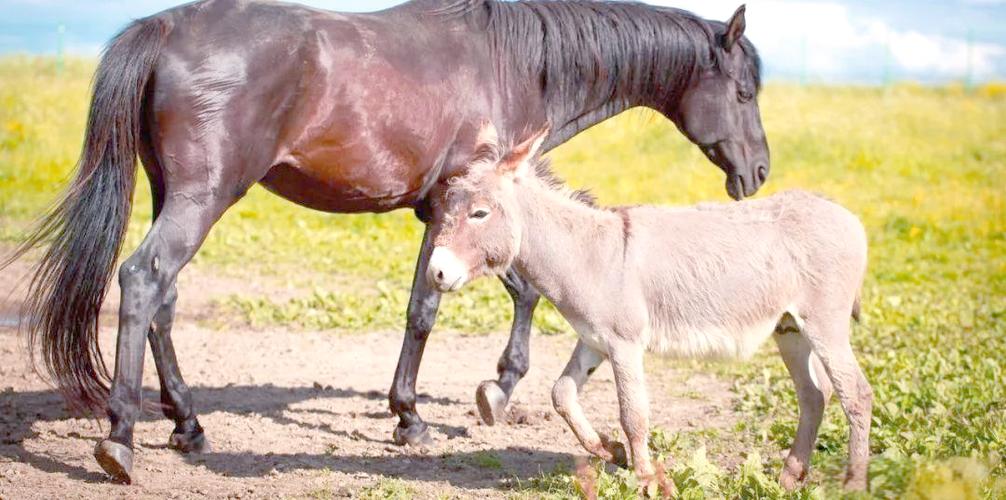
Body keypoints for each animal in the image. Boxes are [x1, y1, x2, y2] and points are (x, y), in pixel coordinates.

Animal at [1, 0, 768, 483]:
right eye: (744, 93)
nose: (758, 172)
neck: (512, 61)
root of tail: (164, 27)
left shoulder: (458, 210)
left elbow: (494, 290)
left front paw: (470, 395)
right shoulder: (456, 205)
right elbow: (449, 303)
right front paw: (438, 408)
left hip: (177, 197)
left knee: (163, 298)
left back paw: (188, 424)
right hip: (201, 199)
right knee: (142, 280)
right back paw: (121, 438)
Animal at [426, 123, 872, 493]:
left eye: (479, 213)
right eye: (448, 209)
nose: (436, 273)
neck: (588, 252)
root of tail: (848, 215)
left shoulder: (624, 343)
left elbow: (633, 414)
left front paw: (647, 480)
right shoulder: (594, 340)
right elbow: (562, 393)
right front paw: (611, 452)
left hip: (825, 324)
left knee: (856, 394)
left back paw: (854, 483)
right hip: (789, 329)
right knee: (814, 396)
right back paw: (789, 477)